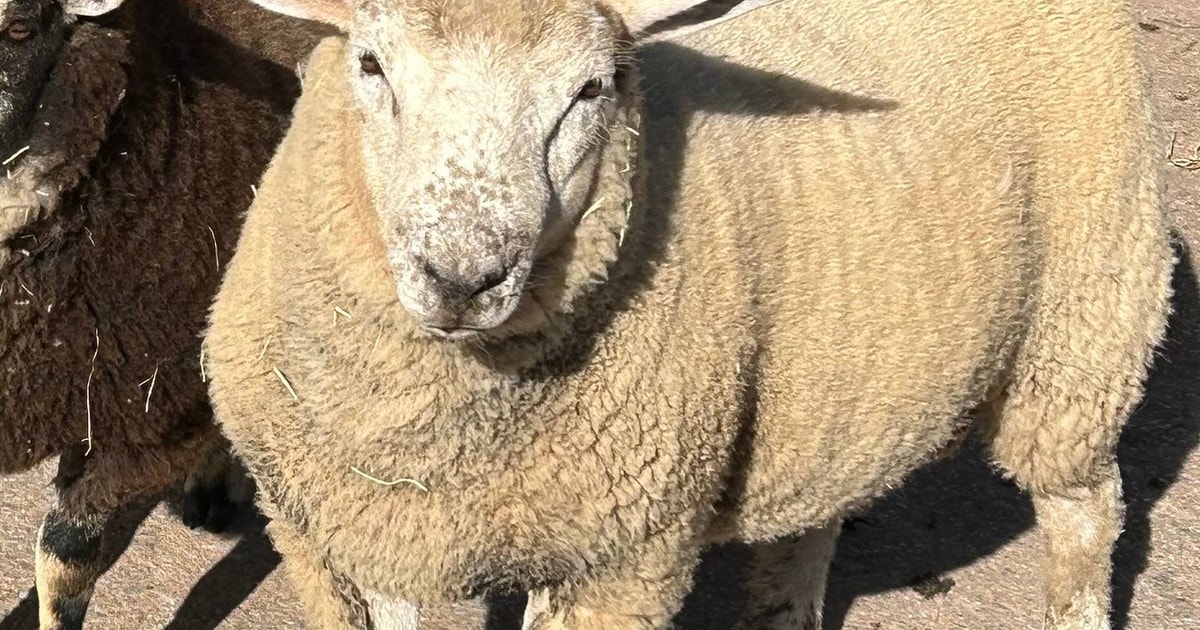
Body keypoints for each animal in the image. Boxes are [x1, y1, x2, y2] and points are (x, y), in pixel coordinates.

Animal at [204, 0, 1175, 628]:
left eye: (593, 89)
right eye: (371, 65)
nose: (462, 277)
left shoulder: (620, 558)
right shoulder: (334, 535)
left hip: (1087, 320)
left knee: (1086, 509)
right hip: (840, 382)